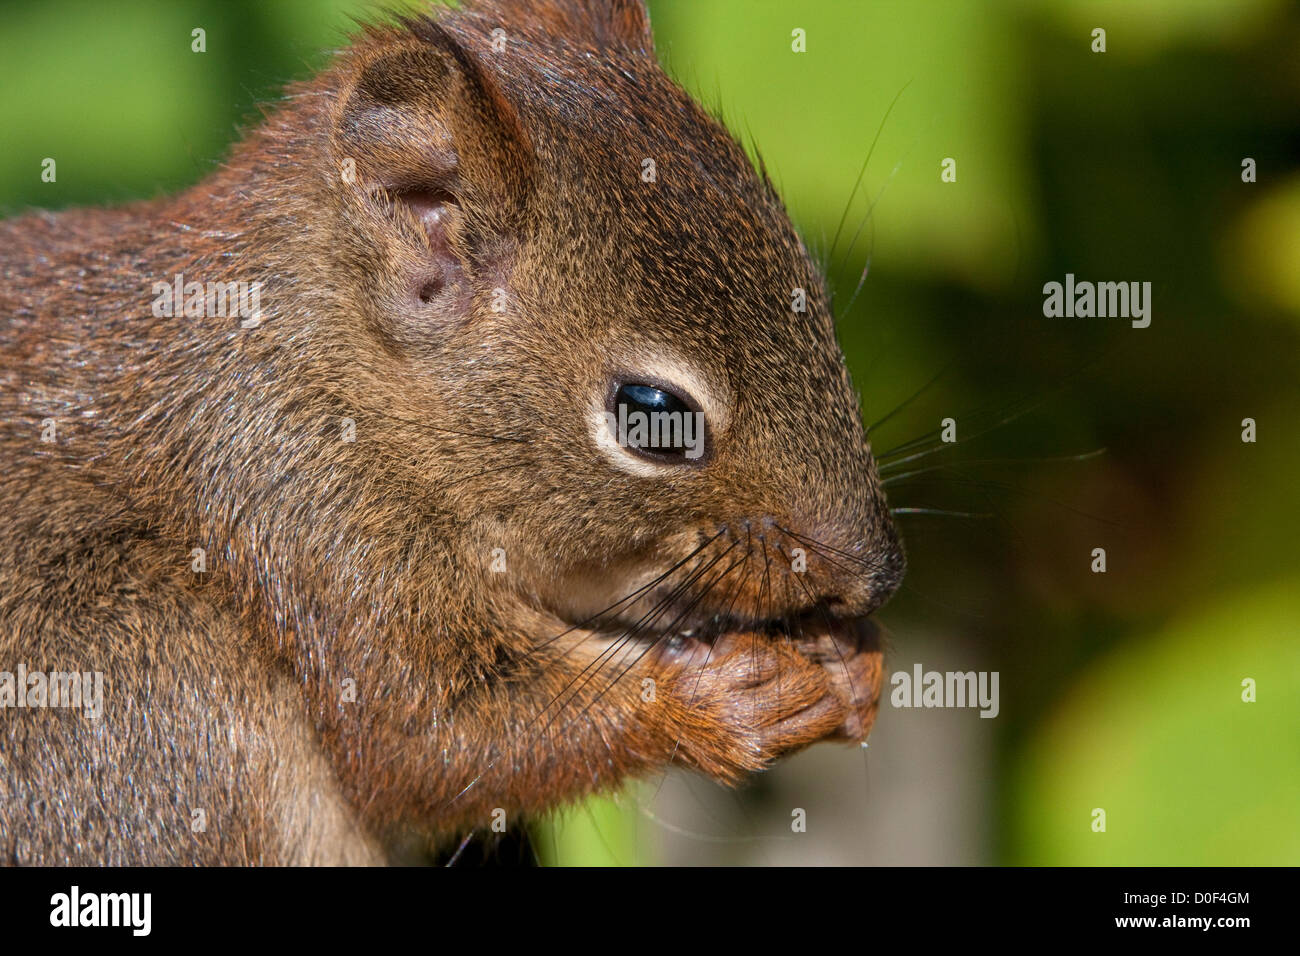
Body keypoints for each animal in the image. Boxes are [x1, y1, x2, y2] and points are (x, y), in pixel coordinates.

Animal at [0, 0, 904, 865]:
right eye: (650, 411)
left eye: (815, 291)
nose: (879, 573)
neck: (332, 375)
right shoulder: (302, 513)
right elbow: (432, 738)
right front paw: (721, 699)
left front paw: (854, 662)